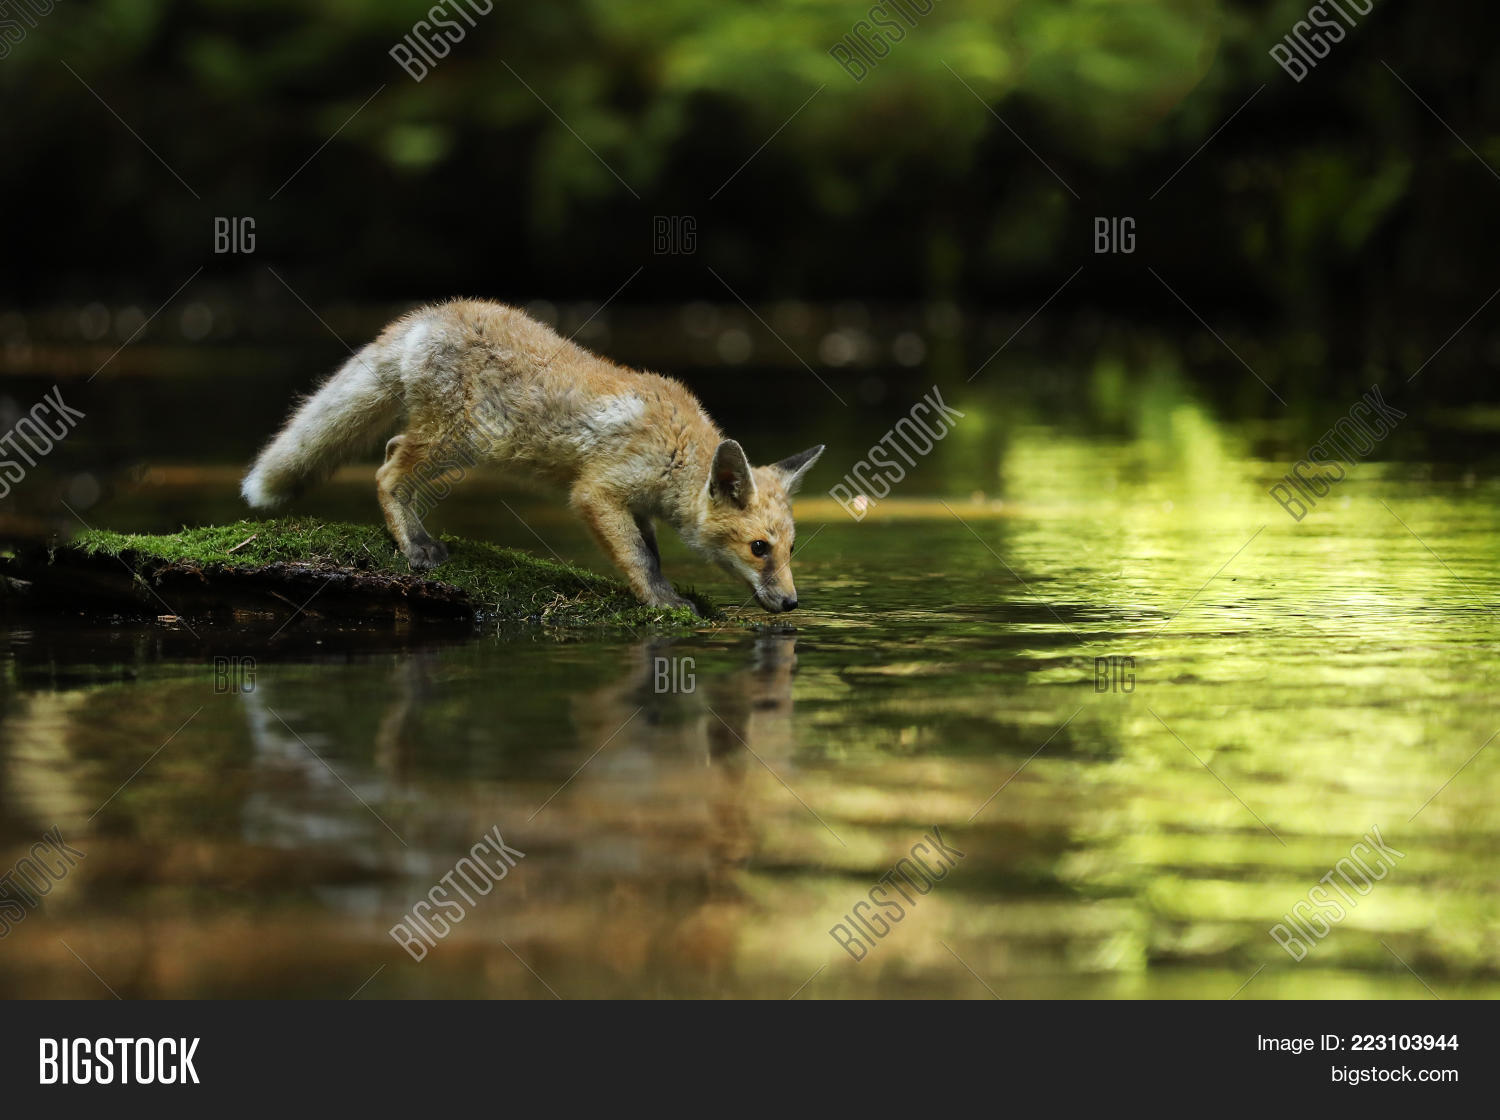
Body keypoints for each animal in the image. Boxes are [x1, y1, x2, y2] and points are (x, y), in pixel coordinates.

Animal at [240, 299, 824, 615]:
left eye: (792, 549)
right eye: (758, 549)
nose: (793, 605)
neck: (675, 452)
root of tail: (432, 313)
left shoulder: (632, 505)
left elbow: (650, 552)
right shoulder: (595, 492)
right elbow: (638, 558)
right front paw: (660, 601)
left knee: (388, 452)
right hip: (459, 441)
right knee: (387, 470)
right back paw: (414, 544)